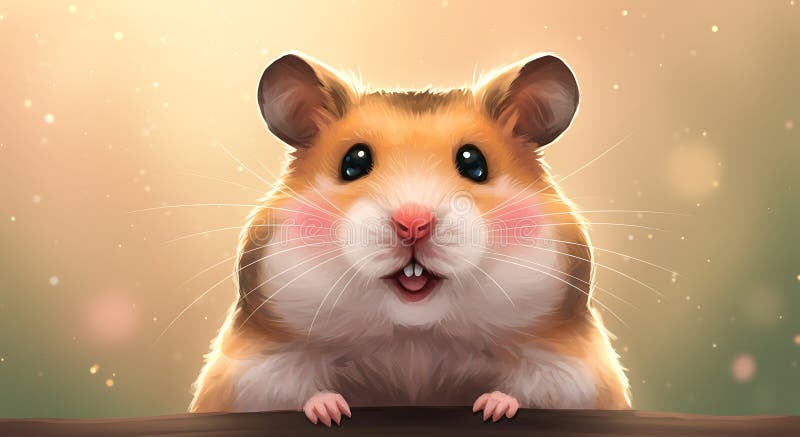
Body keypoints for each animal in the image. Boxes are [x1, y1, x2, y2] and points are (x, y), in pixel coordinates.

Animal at [189, 51, 630, 425]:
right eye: (354, 162)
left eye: (474, 163)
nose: (413, 224)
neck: (413, 340)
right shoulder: (250, 367)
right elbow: (288, 390)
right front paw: (332, 411)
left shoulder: (574, 366)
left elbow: (536, 389)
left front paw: (492, 407)